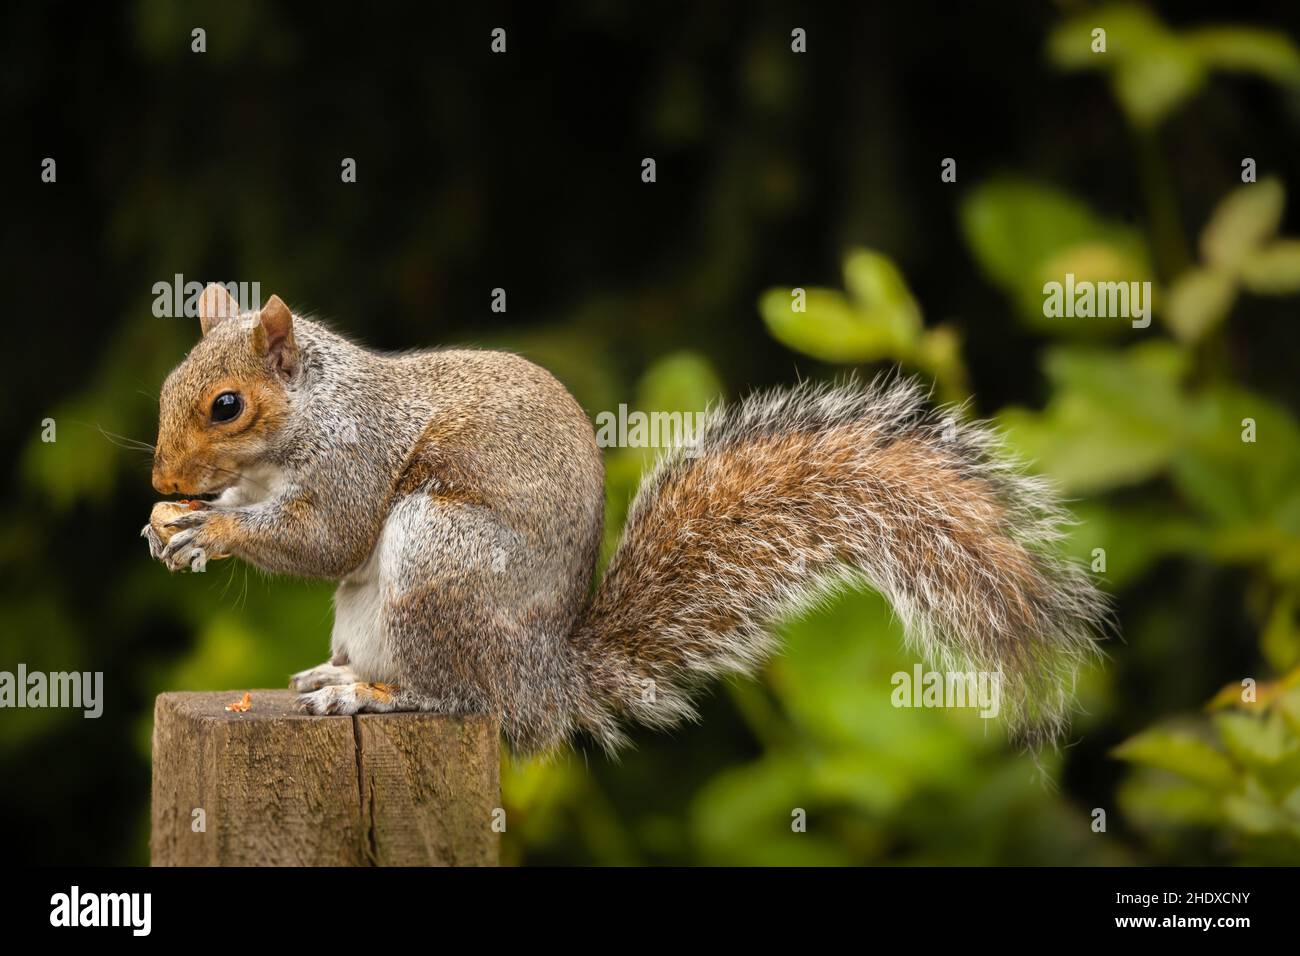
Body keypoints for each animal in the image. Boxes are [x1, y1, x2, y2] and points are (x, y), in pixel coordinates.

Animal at [144, 283, 1108, 754]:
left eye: (227, 405)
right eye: (167, 386)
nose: (163, 475)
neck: (315, 411)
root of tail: (543, 683)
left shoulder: (358, 459)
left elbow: (326, 537)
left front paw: (211, 529)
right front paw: (170, 523)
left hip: (441, 557)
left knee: (452, 699)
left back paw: (370, 695)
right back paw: (334, 675)